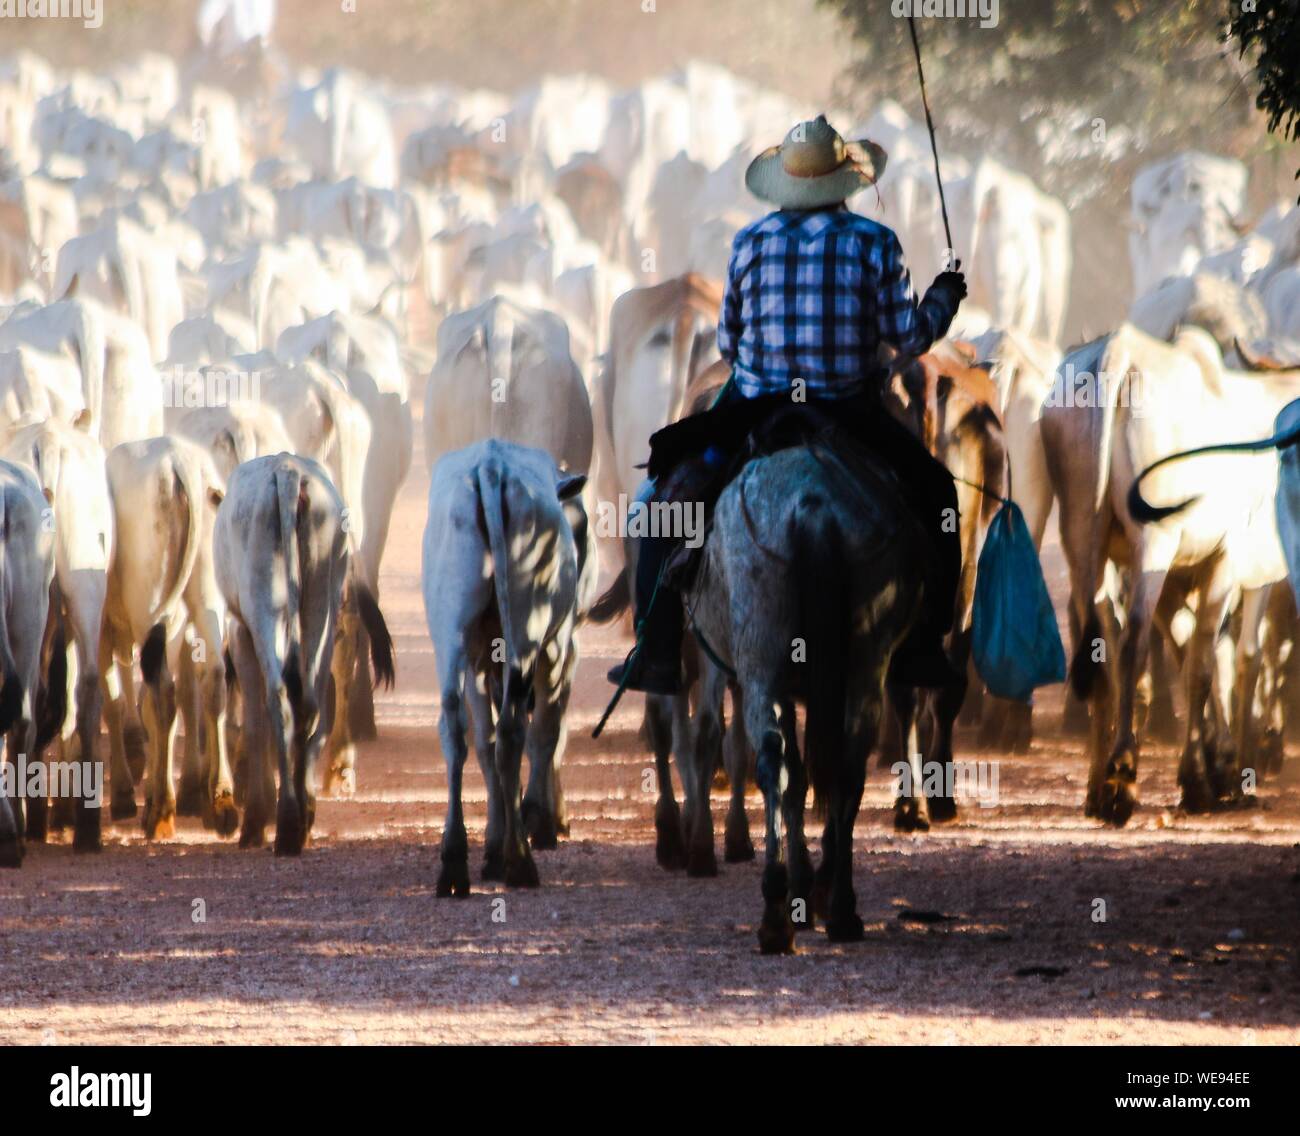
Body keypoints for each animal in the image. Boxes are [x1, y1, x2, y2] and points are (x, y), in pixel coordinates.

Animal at [423, 439, 592, 895]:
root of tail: (491, 462)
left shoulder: (477, 664)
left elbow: (484, 743)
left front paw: (493, 845)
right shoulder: (559, 648)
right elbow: (546, 732)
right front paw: (537, 822)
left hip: (451, 629)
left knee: (456, 730)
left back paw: (455, 860)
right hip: (529, 629)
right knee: (517, 731)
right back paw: (519, 859)